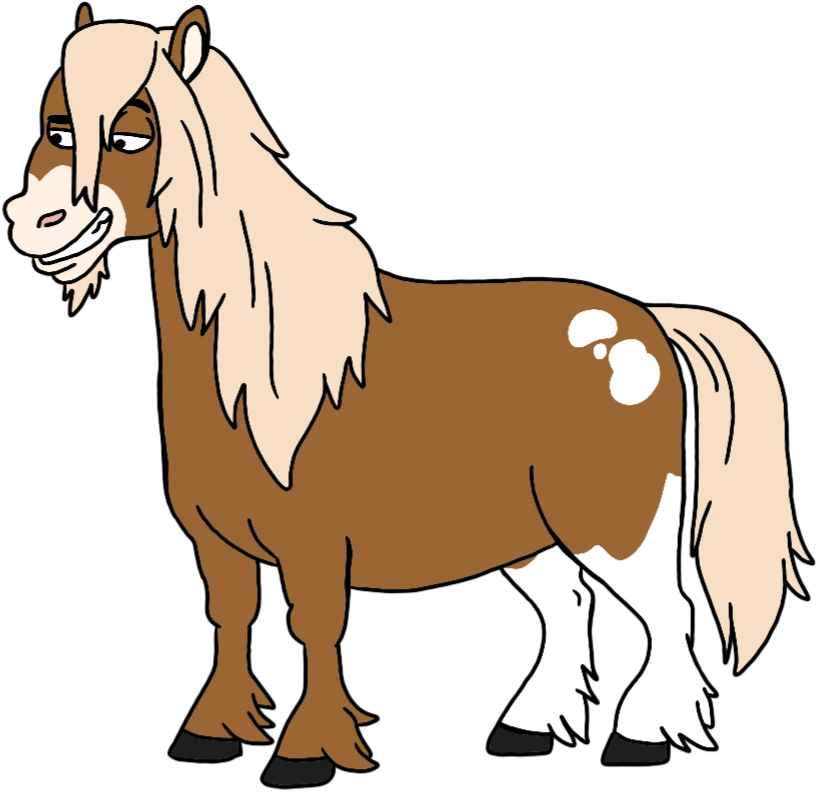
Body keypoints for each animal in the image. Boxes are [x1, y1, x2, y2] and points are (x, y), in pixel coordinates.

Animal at [6, 7, 808, 786]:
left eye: (133, 135)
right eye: (56, 129)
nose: (36, 227)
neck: (260, 363)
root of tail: (644, 320)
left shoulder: (315, 542)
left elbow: (314, 626)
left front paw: (308, 752)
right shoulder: (217, 539)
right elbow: (230, 618)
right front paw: (211, 733)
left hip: (616, 521)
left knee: (664, 612)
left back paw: (644, 737)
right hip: (527, 533)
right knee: (569, 606)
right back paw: (527, 729)